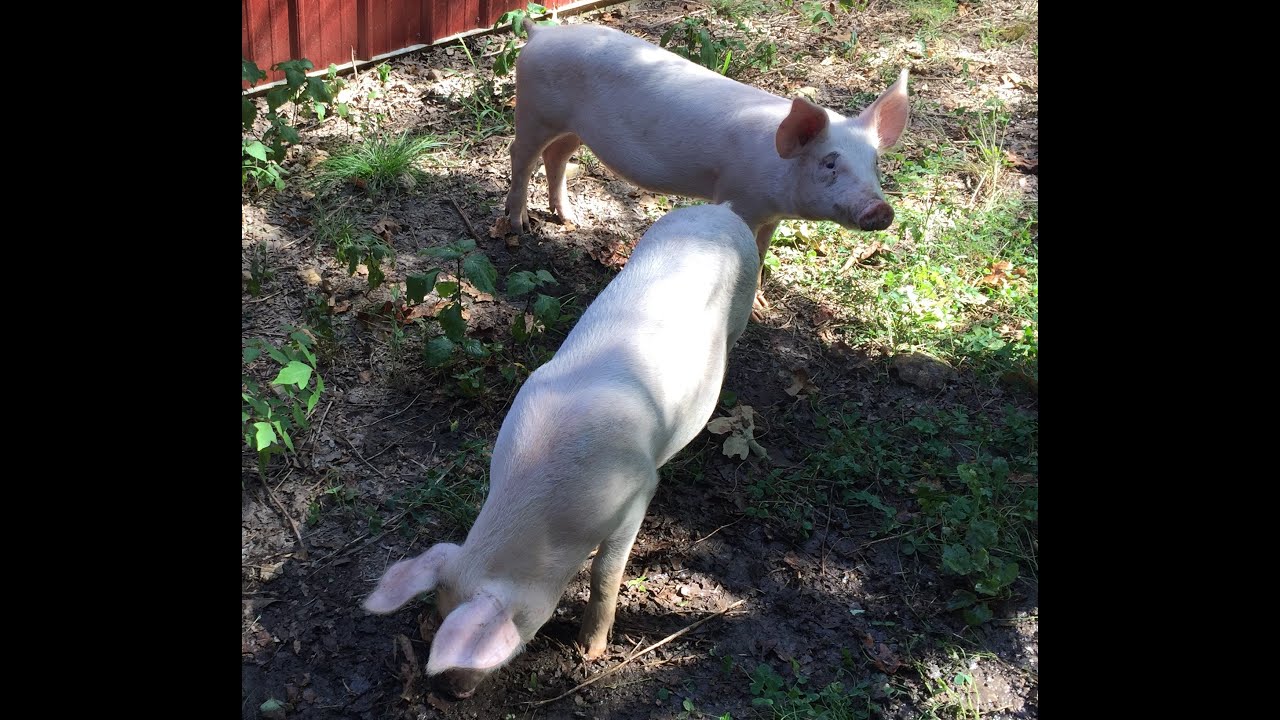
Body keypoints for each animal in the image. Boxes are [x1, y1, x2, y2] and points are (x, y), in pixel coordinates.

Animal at [362, 202, 760, 698]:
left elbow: (606, 574)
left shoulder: (638, 494)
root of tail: (721, 211)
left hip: (743, 297)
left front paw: (590, 652)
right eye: (438, 609)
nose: (453, 691)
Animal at [504, 18, 910, 310]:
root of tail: (540, 33)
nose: (881, 210)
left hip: (574, 128)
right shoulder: (739, 197)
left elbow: (762, 252)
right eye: (829, 163)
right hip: (533, 111)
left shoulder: (770, 215)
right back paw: (518, 225)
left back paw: (569, 220)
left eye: (875, 163)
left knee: (555, 156)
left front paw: (761, 306)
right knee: (520, 155)